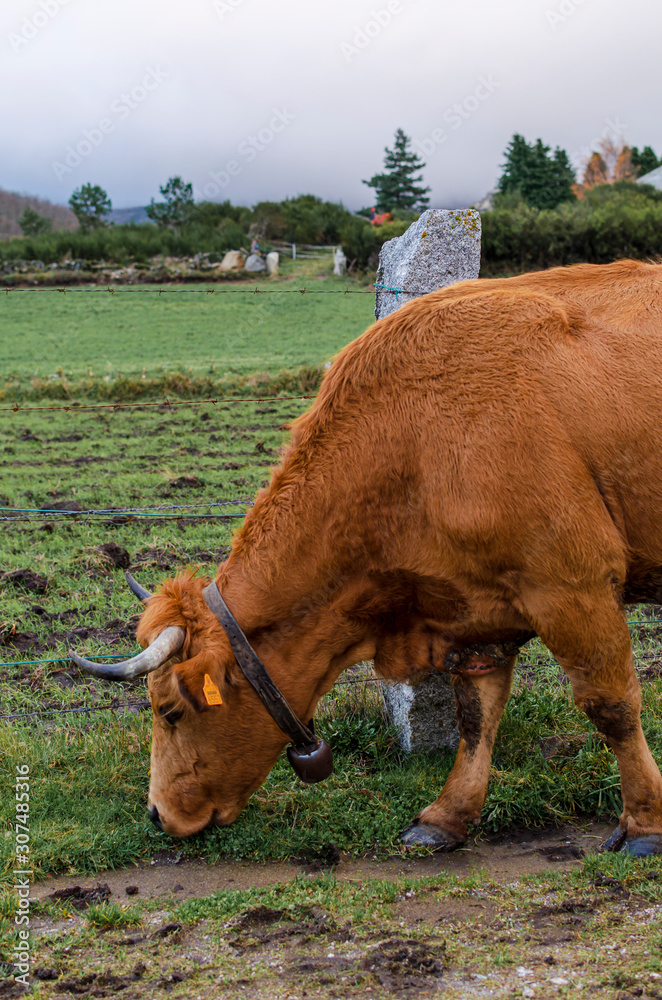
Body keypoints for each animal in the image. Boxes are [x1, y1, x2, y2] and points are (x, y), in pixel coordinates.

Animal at [72, 258, 662, 857]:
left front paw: (645, 823)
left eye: (168, 710)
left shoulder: (573, 586)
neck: (416, 441)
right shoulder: (478, 609)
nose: (156, 814)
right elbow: (476, 716)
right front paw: (447, 815)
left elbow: (612, 705)